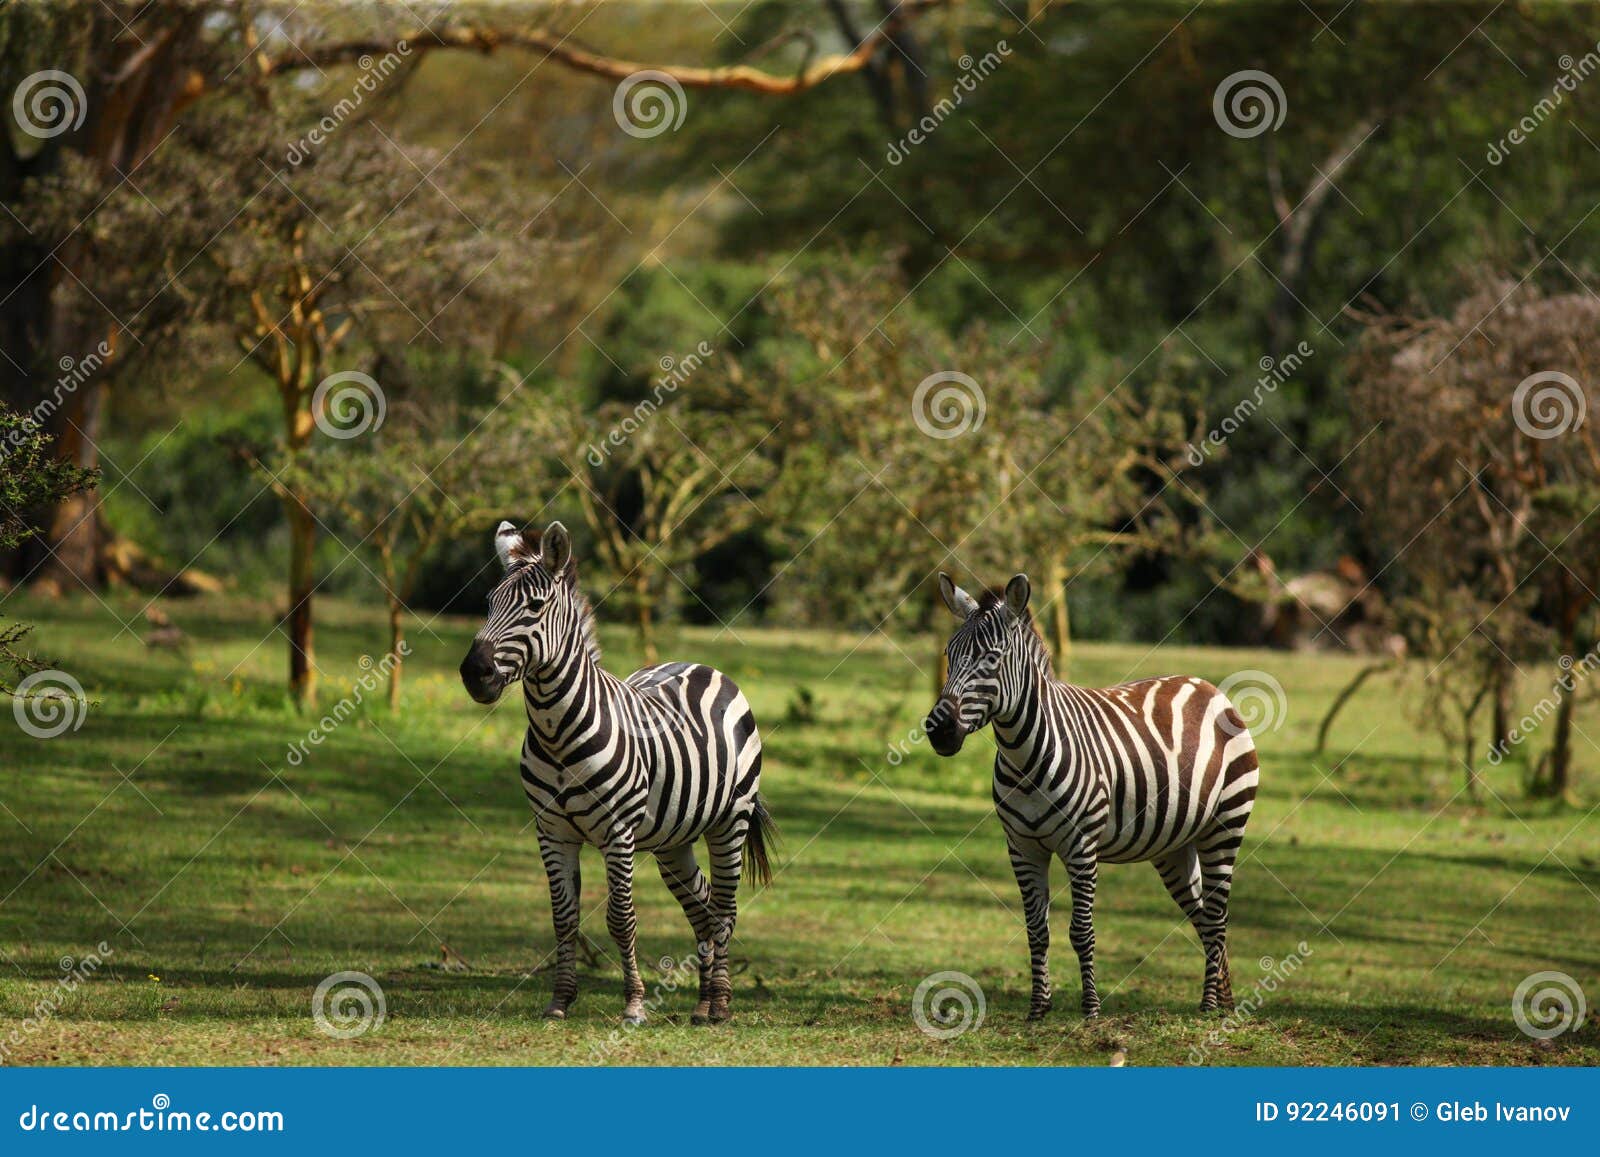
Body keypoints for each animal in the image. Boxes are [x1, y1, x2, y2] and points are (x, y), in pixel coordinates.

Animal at [459, 519, 773, 1026]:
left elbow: (621, 919)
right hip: (673, 840)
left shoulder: (617, 832)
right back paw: (703, 1003)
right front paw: (560, 1000)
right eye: (488, 604)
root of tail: (703, 666)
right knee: (703, 909)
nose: (474, 672)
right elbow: (563, 918)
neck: (556, 732)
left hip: (731, 821)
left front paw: (634, 1005)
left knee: (724, 909)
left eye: (535, 607)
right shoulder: (552, 832)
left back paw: (721, 1005)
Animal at [923, 572, 1259, 1018]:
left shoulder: (1081, 846)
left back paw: (1208, 1005)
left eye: (991, 659)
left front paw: (1091, 1009)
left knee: (1218, 916)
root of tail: (1207, 686)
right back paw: (1223, 999)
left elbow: (1081, 931)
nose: (939, 731)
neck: (1024, 757)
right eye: (949, 654)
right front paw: (1038, 1009)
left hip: (1225, 825)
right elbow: (1036, 931)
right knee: (1205, 918)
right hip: (1174, 846)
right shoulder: (1022, 847)